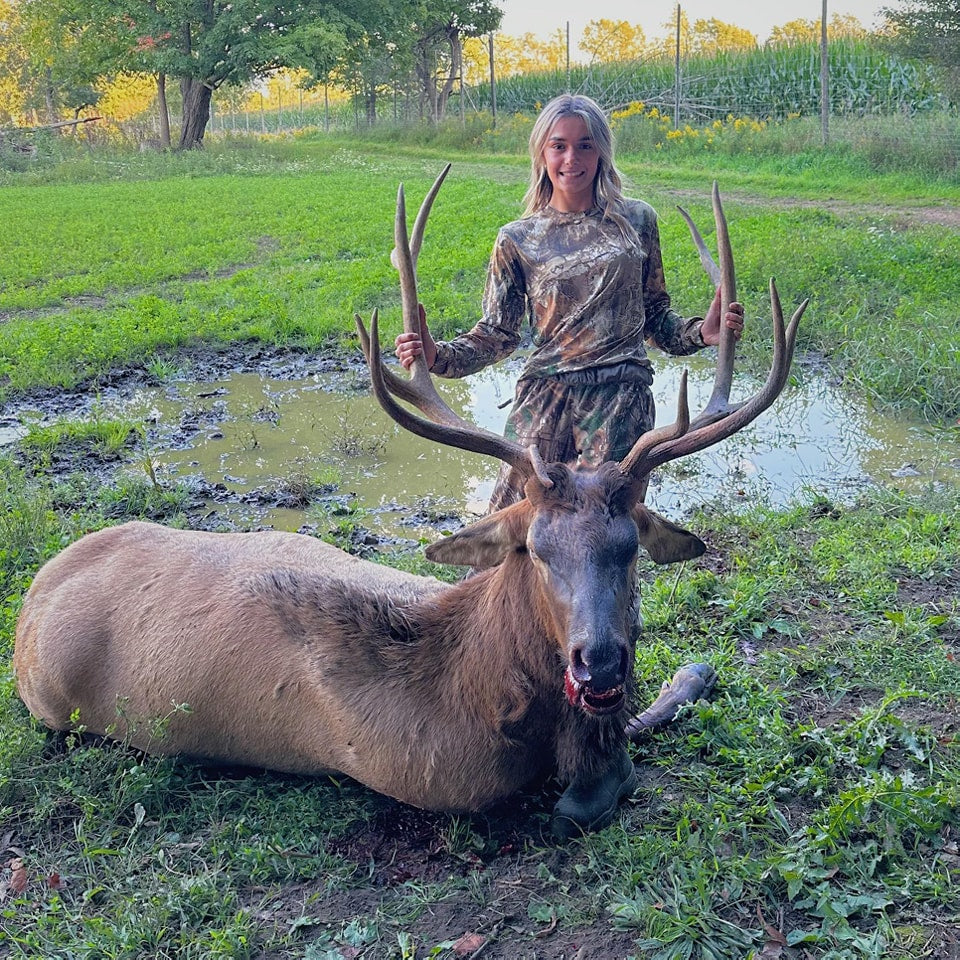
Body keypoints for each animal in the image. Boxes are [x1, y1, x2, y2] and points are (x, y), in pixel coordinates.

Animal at [14, 168, 807, 840]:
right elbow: (588, 792)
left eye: (631, 548)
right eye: (534, 550)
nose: (601, 663)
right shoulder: (446, 778)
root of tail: (38, 585)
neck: (471, 679)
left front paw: (691, 673)